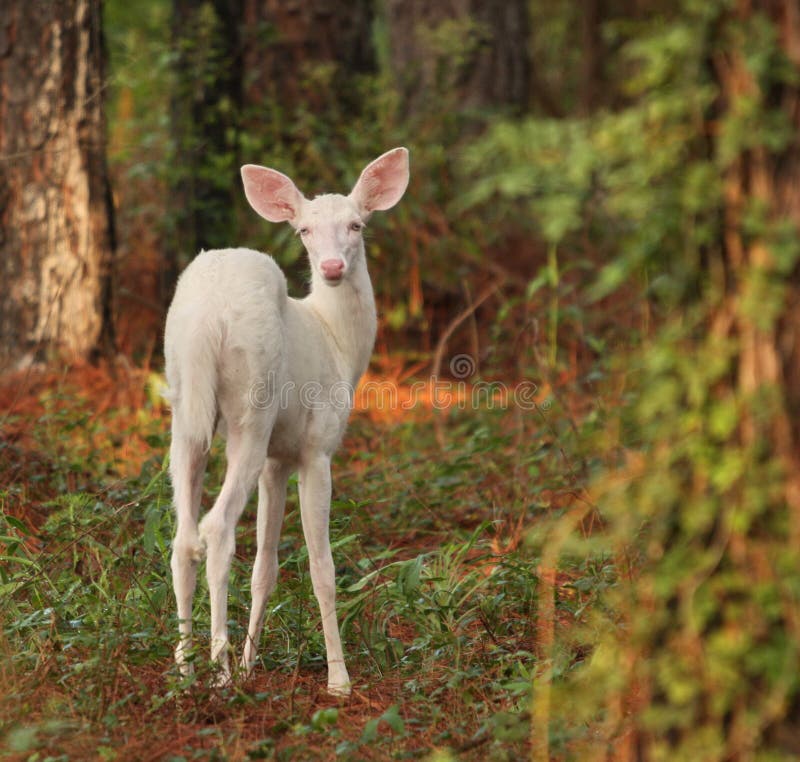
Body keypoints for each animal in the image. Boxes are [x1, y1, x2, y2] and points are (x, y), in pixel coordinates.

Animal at [163, 148, 410, 695]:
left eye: (357, 224)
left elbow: (267, 567)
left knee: (183, 536)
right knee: (216, 527)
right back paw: (218, 670)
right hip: (250, 412)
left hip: (185, 410)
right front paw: (338, 677)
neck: (337, 343)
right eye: (305, 231)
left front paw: (254, 661)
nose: (334, 266)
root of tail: (209, 317)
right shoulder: (317, 447)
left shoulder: (279, 458)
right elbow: (322, 568)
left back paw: (186, 668)